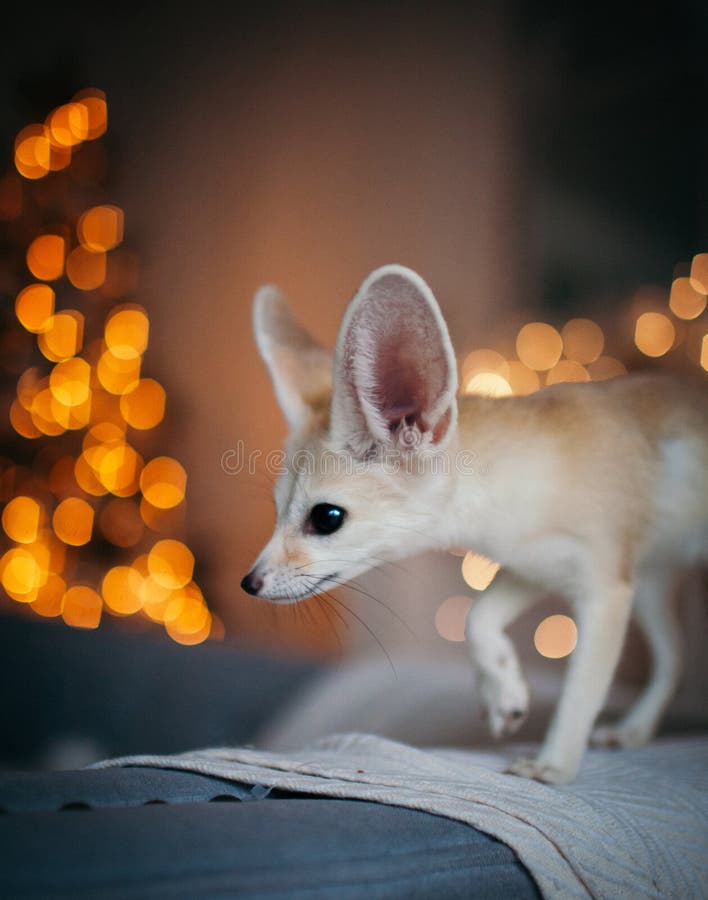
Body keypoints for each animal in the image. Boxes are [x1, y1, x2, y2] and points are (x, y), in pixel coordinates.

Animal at [241, 263, 708, 784]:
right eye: (277, 509)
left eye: (326, 518)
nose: (250, 583)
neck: (533, 473)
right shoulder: (534, 563)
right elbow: (476, 618)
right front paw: (504, 692)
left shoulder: (605, 590)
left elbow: (581, 690)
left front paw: (552, 765)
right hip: (649, 586)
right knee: (675, 659)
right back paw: (635, 729)